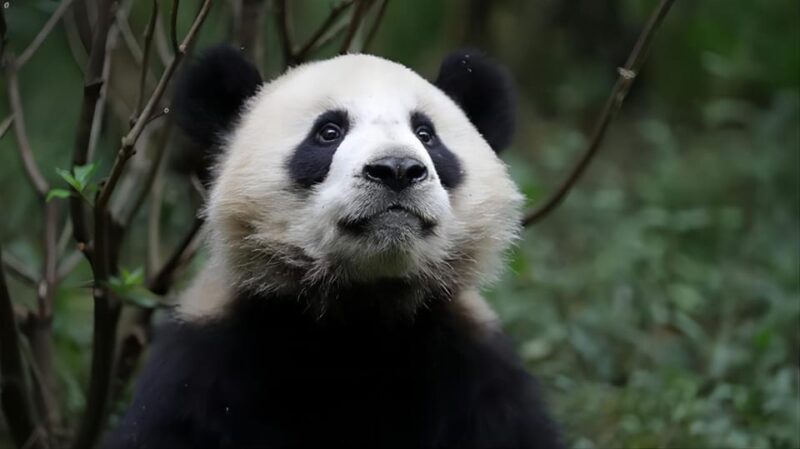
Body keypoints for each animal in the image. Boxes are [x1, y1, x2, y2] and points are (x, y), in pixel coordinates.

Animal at [104, 46, 563, 449]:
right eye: (328, 132)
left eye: (426, 134)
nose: (397, 169)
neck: (356, 308)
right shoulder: (206, 367)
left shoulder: (472, 370)